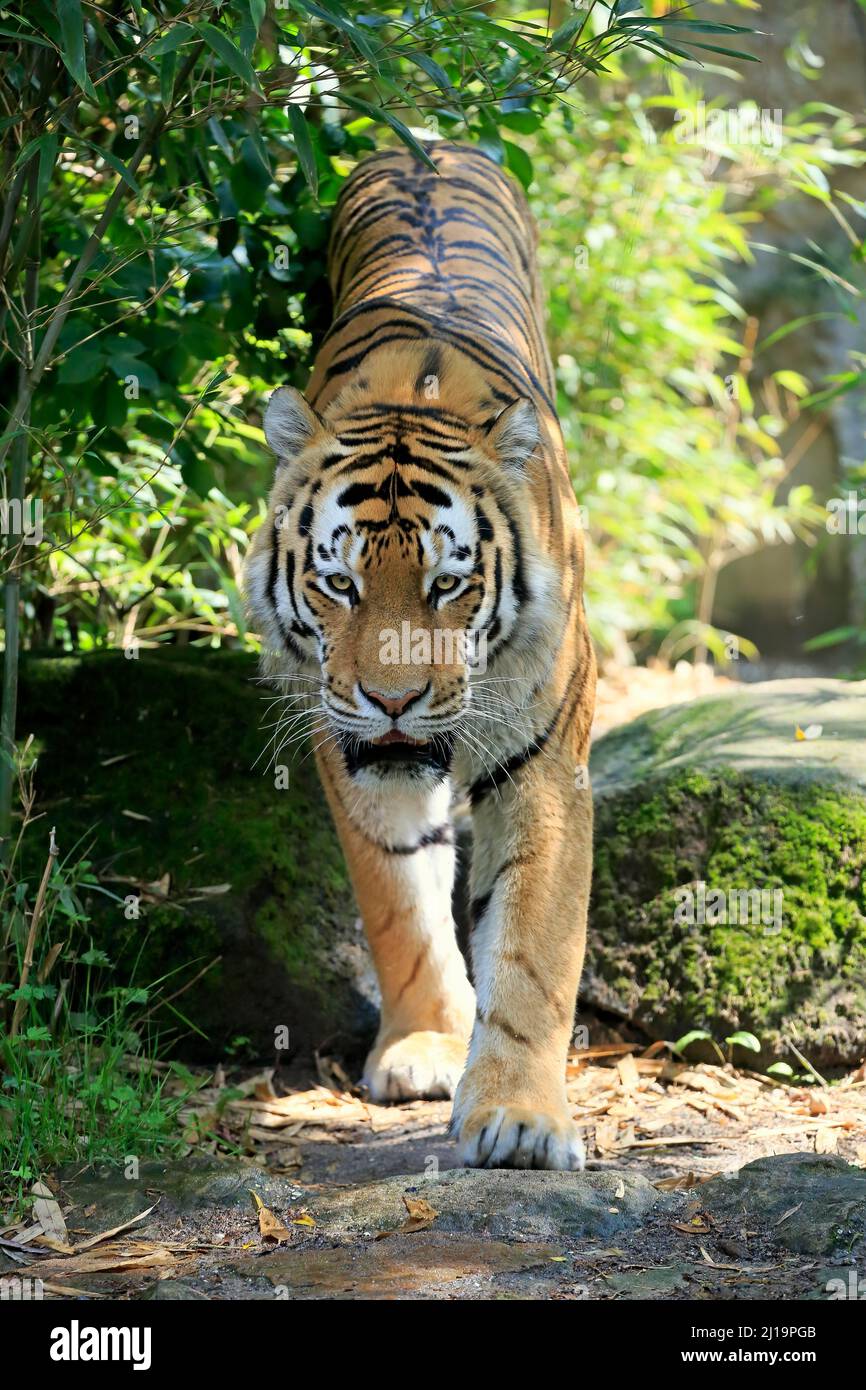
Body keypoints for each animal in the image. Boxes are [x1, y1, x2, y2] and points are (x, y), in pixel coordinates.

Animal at [244, 141, 595, 1170]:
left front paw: (518, 1119)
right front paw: (432, 1044)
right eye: (339, 583)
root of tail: (428, 143)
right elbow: (398, 900)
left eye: (448, 583)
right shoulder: (353, 747)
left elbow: (533, 946)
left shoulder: (544, 762)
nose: (395, 700)